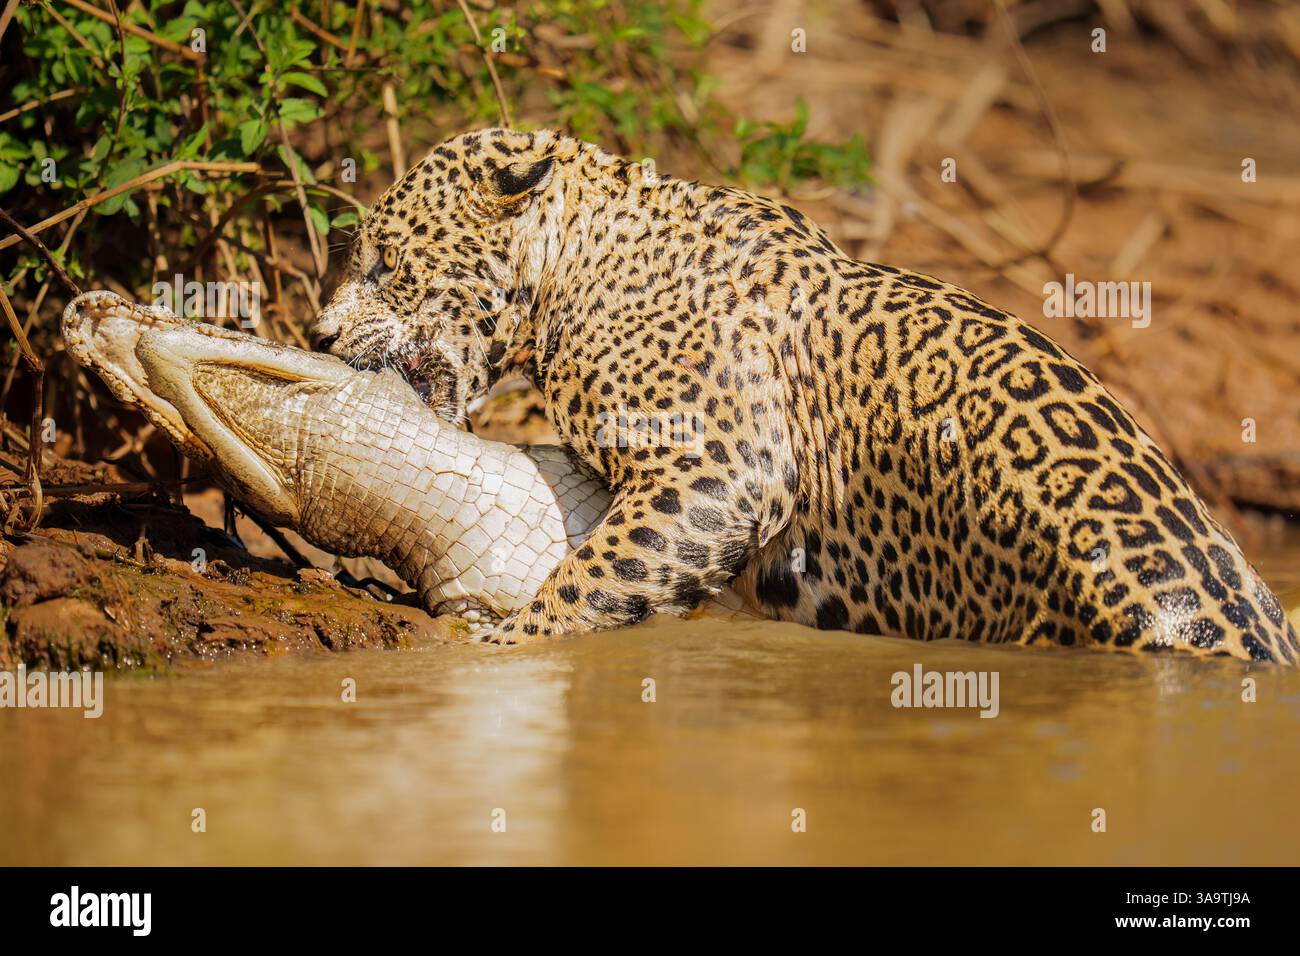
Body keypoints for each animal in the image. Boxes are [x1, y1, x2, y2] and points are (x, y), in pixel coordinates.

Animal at [310, 127, 1297, 663]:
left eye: (385, 263)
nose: (315, 336)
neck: (580, 264)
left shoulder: (720, 465)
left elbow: (599, 575)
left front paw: (500, 651)